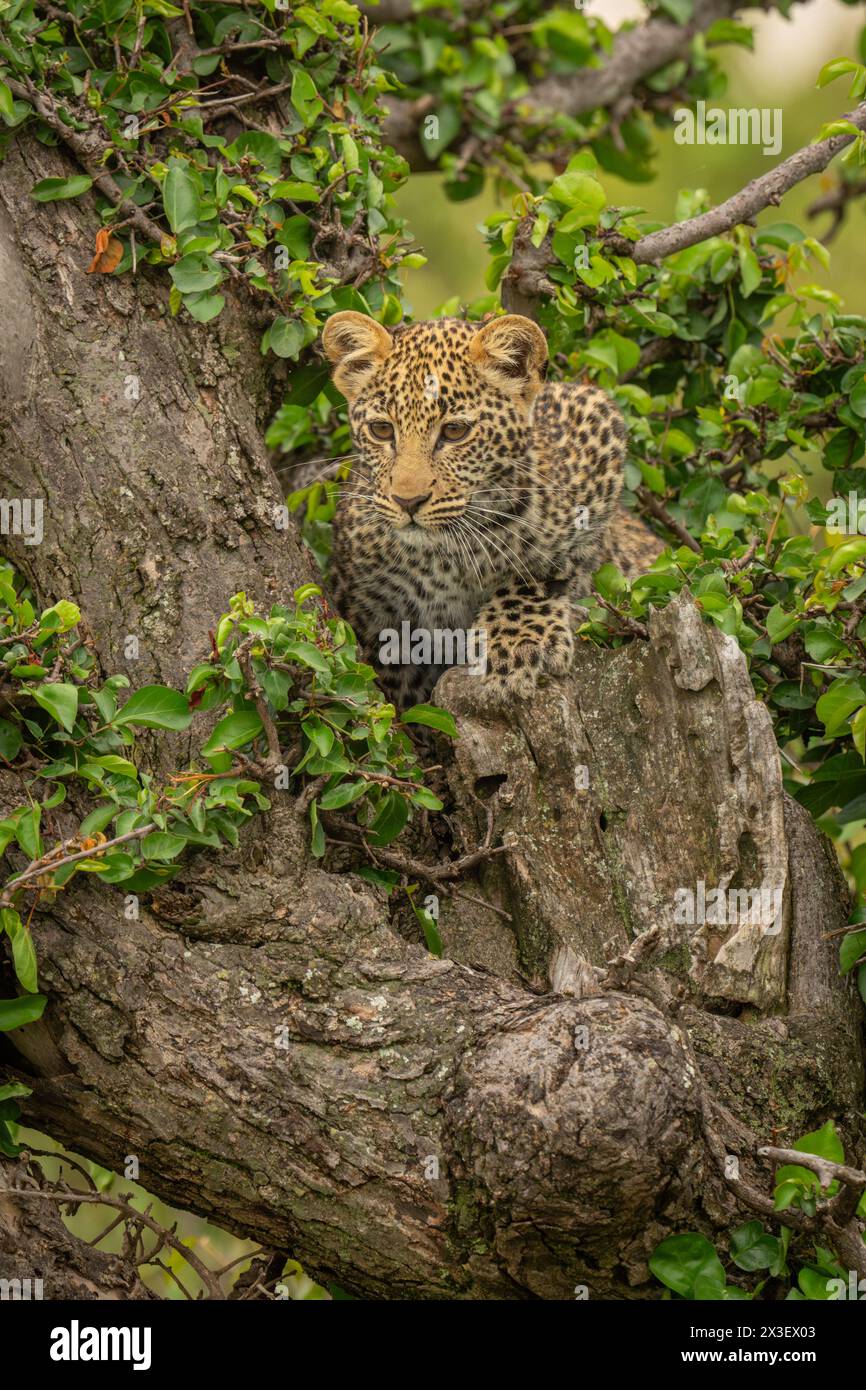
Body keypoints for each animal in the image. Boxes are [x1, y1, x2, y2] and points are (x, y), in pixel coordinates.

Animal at [321, 310, 662, 708]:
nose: (408, 501)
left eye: (454, 432)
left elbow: (547, 567)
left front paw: (517, 644)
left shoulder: (595, 421)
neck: (443, 559)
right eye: (381, 430)